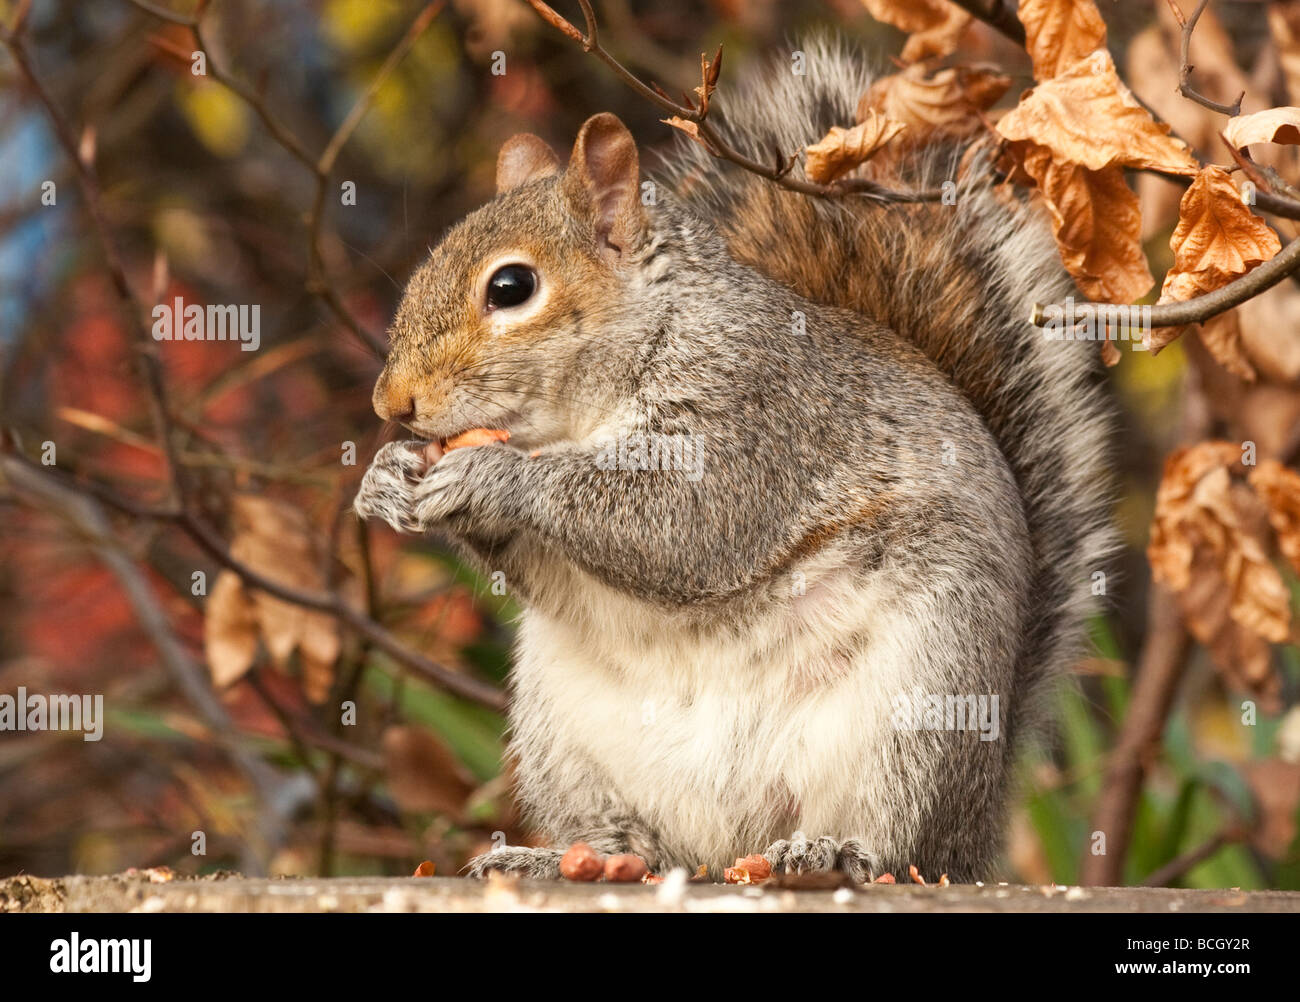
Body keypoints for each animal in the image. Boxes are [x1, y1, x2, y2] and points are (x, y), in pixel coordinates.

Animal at [352, 37, 1114, 883]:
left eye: (511, 287)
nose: (392, 405)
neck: (581, 415)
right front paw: (383, 481)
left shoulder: (756, 413)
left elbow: (683, 526)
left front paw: (497, 478)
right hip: (564, 740)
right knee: (636, 844)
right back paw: (558, 860)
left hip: (922, 705)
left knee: (897, 841)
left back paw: (832, 853)